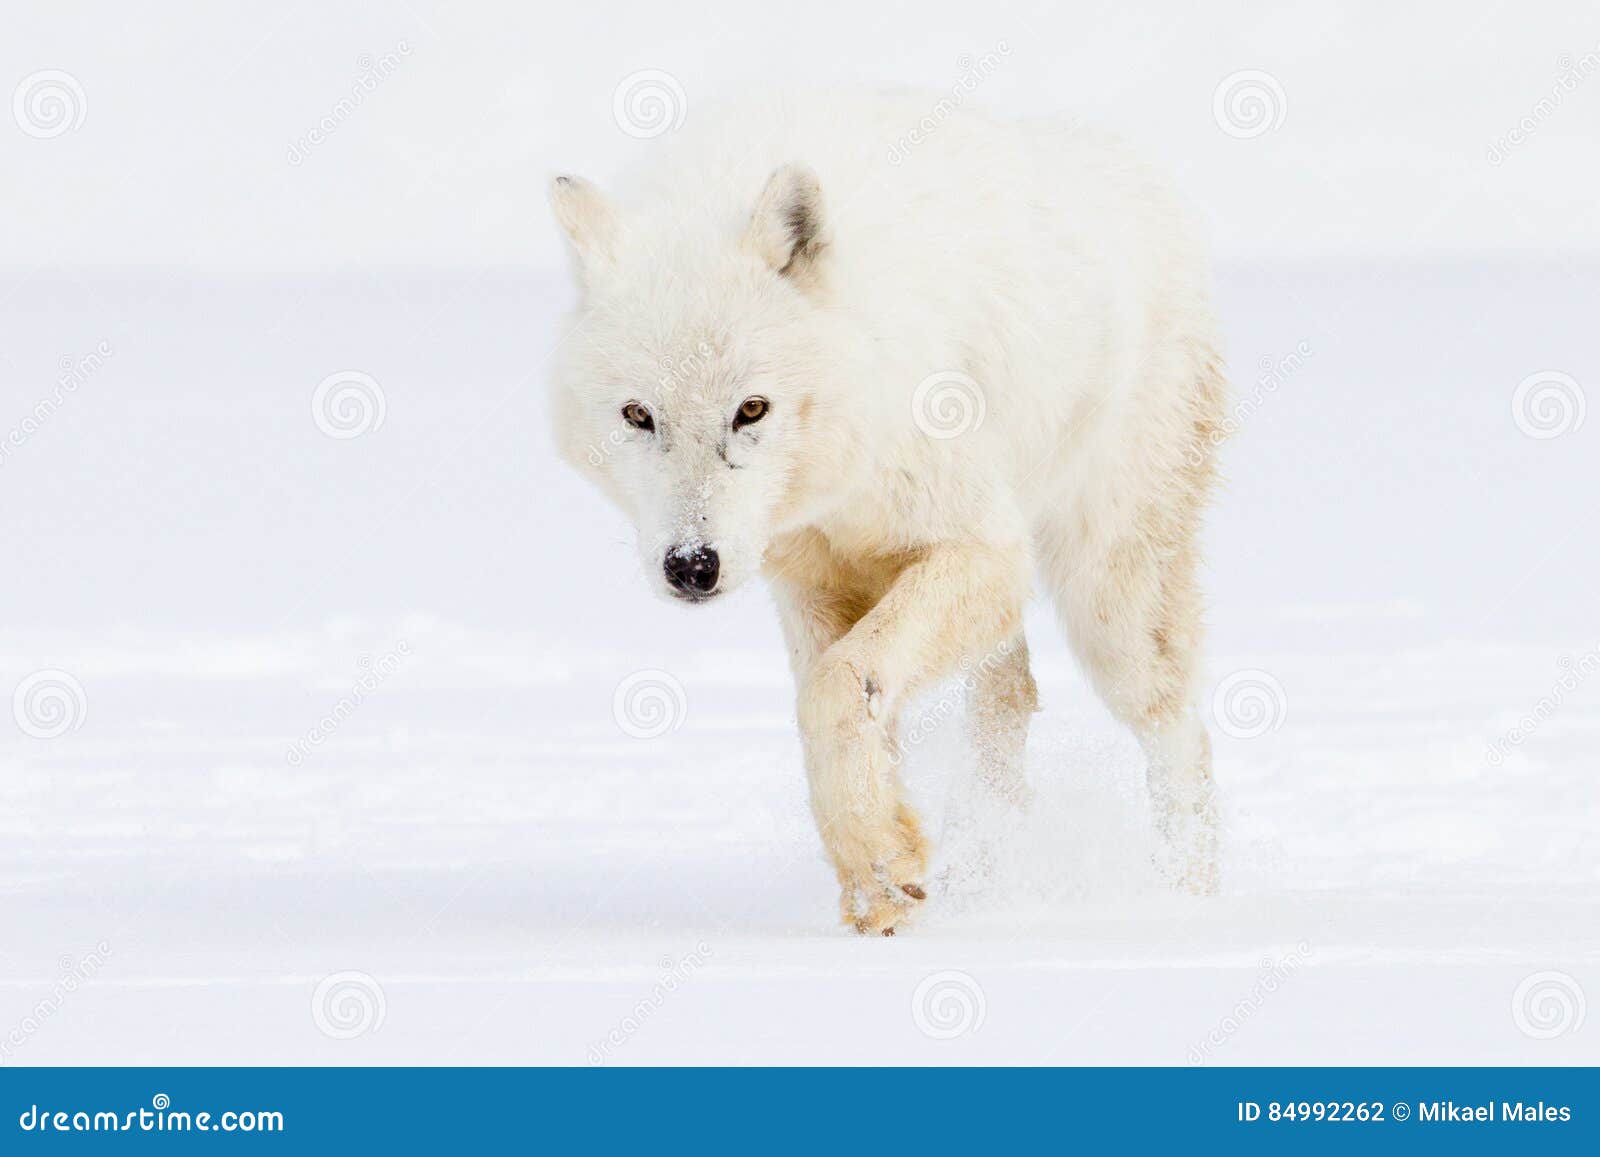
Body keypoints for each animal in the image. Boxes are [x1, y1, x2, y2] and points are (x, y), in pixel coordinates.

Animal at [548, 91, 1226, 934]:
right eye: (639, 415)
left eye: (751, 409)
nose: (692, 566)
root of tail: (1142, 174)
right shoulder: (809, 580)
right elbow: (833, 713)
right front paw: (882, 884)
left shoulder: (982, 547)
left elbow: (836, 691)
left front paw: (877, 864)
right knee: (1011, 697)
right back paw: (989, 864)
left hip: (1109, 601)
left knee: (1176, 724)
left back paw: (1185, 897)